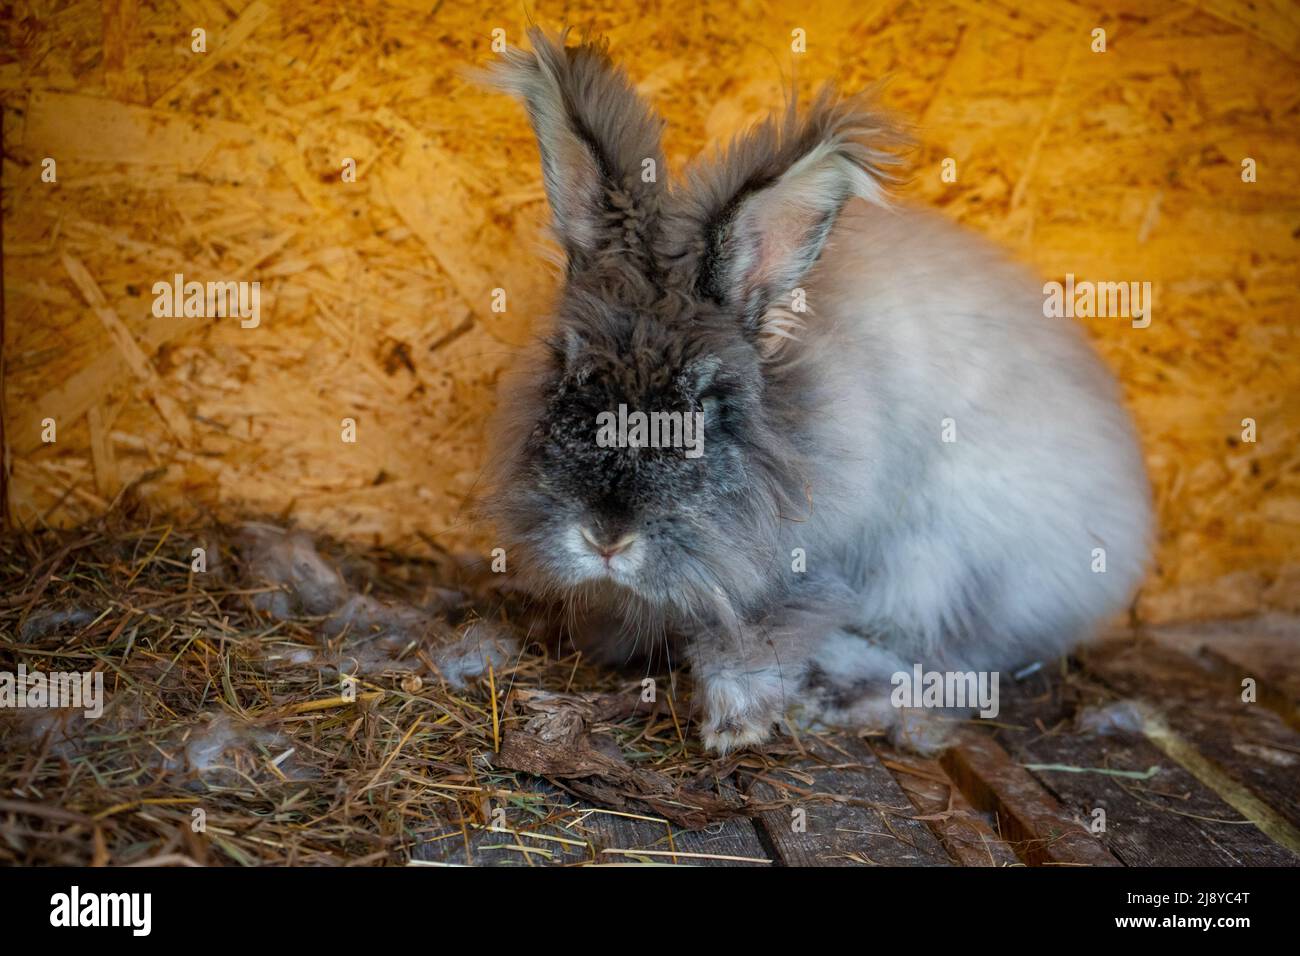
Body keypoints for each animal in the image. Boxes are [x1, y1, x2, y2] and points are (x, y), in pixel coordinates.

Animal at [480, 29, 1152, 754]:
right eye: (564, 372)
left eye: (707, 406)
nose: (605, 539)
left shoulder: (801, 570)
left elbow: (759, 639)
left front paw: (735, 726)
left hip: (945, 562)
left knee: (954, 664)